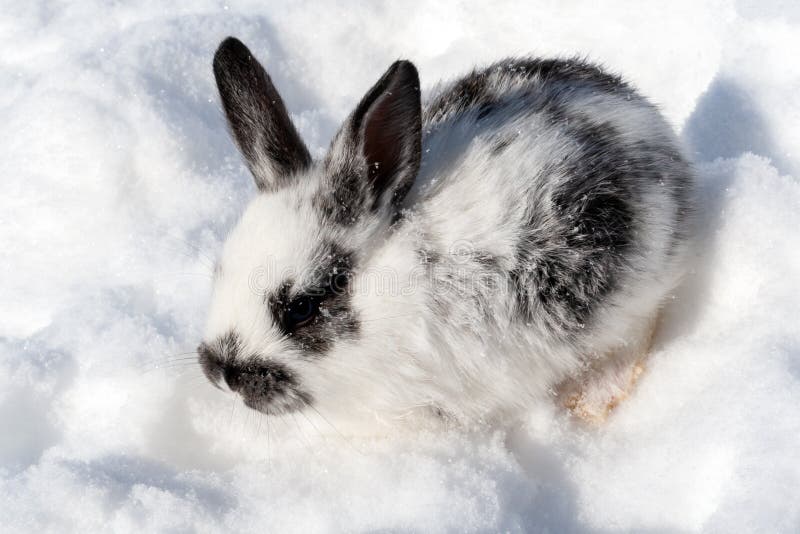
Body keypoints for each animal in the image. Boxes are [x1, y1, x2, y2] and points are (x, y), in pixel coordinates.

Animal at [198, 36, 695, 427]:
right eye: (220, 271)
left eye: (301, 308)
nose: (220, 371)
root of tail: (646, 119)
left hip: (629, 292)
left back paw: (590, 402)